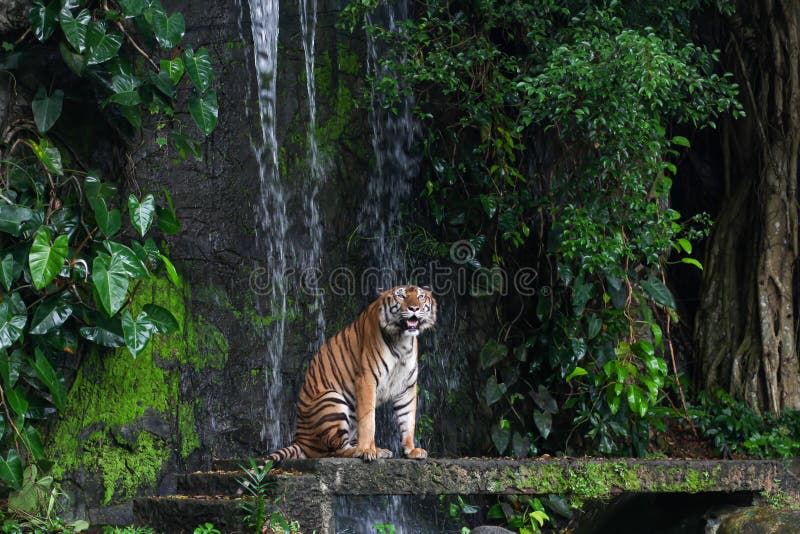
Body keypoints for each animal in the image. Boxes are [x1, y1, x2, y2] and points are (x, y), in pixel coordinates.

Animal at [269, 285, 437, 462]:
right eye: (401, 296)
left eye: (420, 296)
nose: (414, 308)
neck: (402, 341)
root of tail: (299, 439)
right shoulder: (367, 379)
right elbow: (368, 419)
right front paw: (367, 450)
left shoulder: (407, 386)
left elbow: (408, 419)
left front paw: (412, 450)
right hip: (331, 399)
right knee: (335, 450)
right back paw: (360, 451)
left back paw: (379, 450)